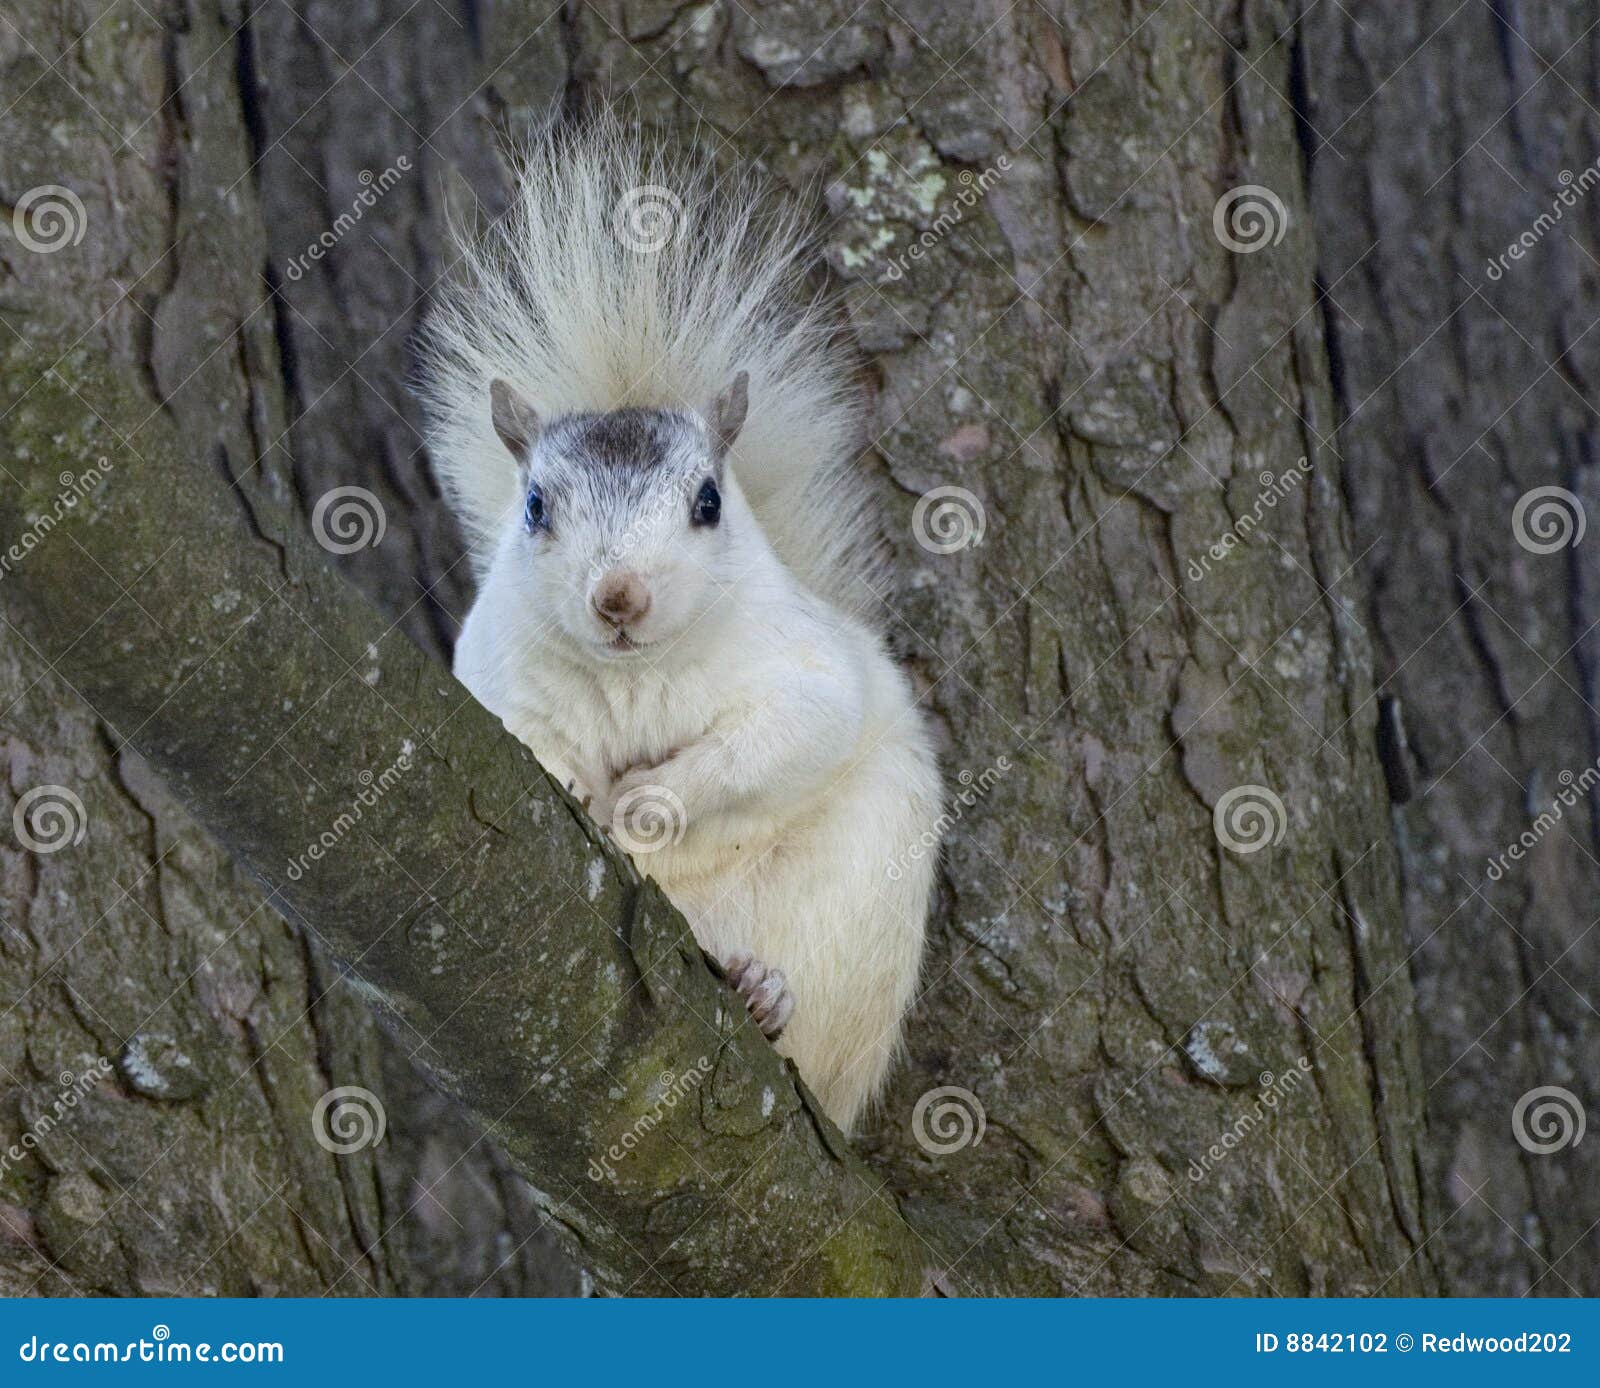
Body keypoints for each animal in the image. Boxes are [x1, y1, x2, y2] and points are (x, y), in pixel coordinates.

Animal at [420, 118, 943, 1134]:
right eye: (533, 507)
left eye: (708, 501)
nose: (618, 596)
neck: (634, 675)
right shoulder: (493, 684)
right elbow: (526, 739)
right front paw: (577, 786)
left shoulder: (800, 675)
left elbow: (775, 740)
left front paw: (640, 804)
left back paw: (763, 997)